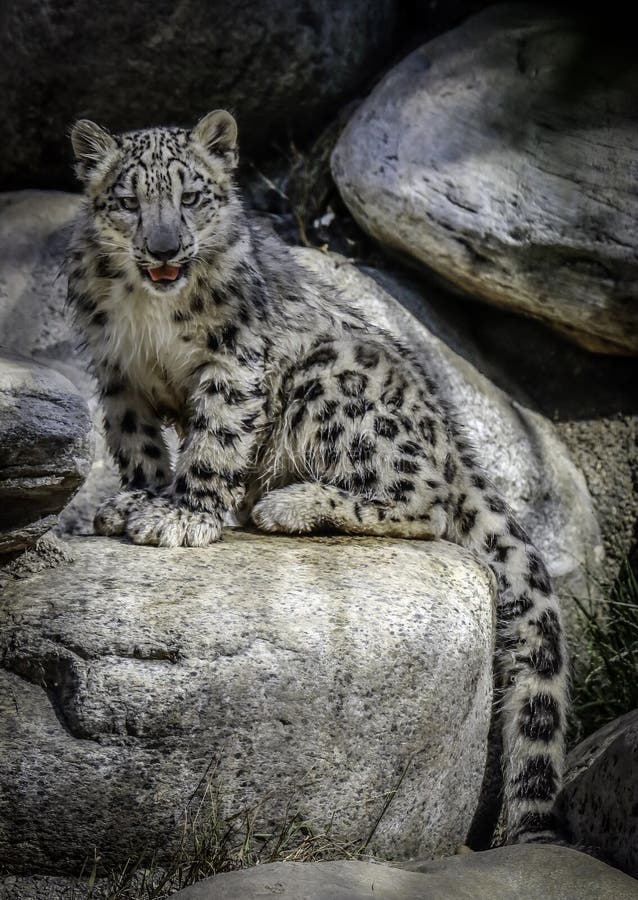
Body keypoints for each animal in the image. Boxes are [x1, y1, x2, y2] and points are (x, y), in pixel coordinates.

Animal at [66, 109, 568, 848]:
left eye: (191, 196)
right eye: (129, 201)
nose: (164, 247)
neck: (148, 314)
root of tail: (453, 436)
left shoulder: (233, 357)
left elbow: (215, 436)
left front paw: (183, 515)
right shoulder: (118, 372)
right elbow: (137, 445)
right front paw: (137, 500)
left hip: (331, 381)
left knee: (426, 500)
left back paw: (289, 505)